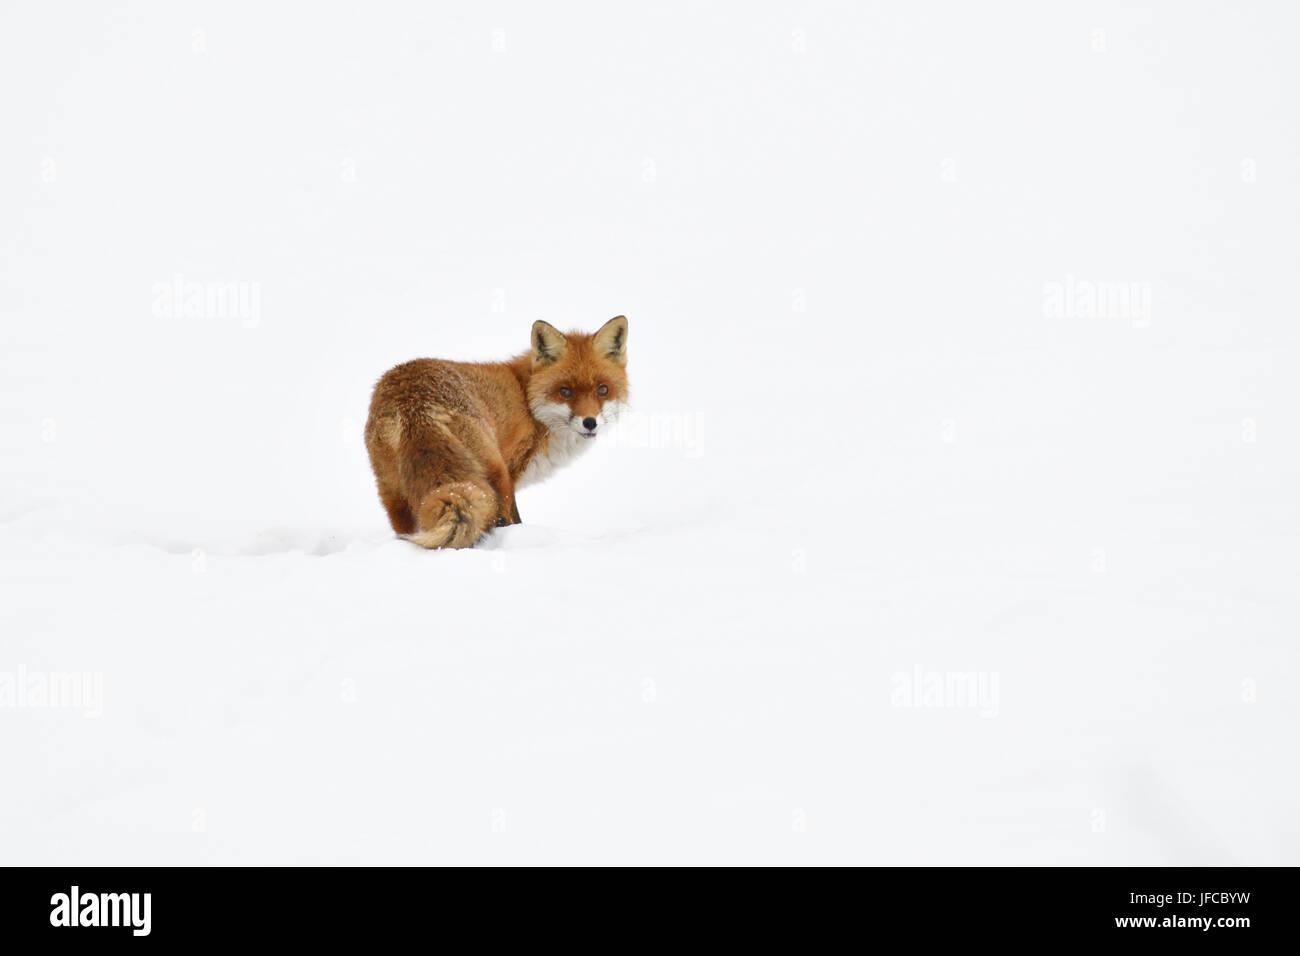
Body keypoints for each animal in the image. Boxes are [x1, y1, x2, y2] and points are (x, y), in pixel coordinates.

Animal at [364, 315, 629, 549]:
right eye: (565, 392)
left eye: (603, 389)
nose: (590, 422)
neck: (528, 403)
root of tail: (414, 404)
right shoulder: (510, 470)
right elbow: (514, 519)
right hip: (494, 472)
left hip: (391, 491)